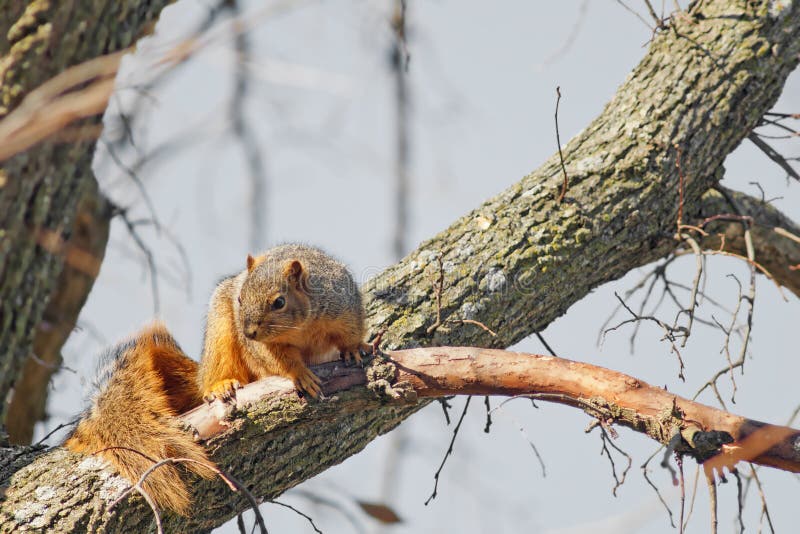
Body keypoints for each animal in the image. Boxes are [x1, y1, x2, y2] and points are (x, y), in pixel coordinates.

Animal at [198, 243, 371, 401]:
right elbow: (279, 359)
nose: (248, 333)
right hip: (219, 327)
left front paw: (352, 348)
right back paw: (222, 384)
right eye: (240, 299)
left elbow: (350, 331)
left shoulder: (343, 308)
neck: (299, 328)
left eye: (279, 302)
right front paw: (300, 373)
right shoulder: (266, 345)